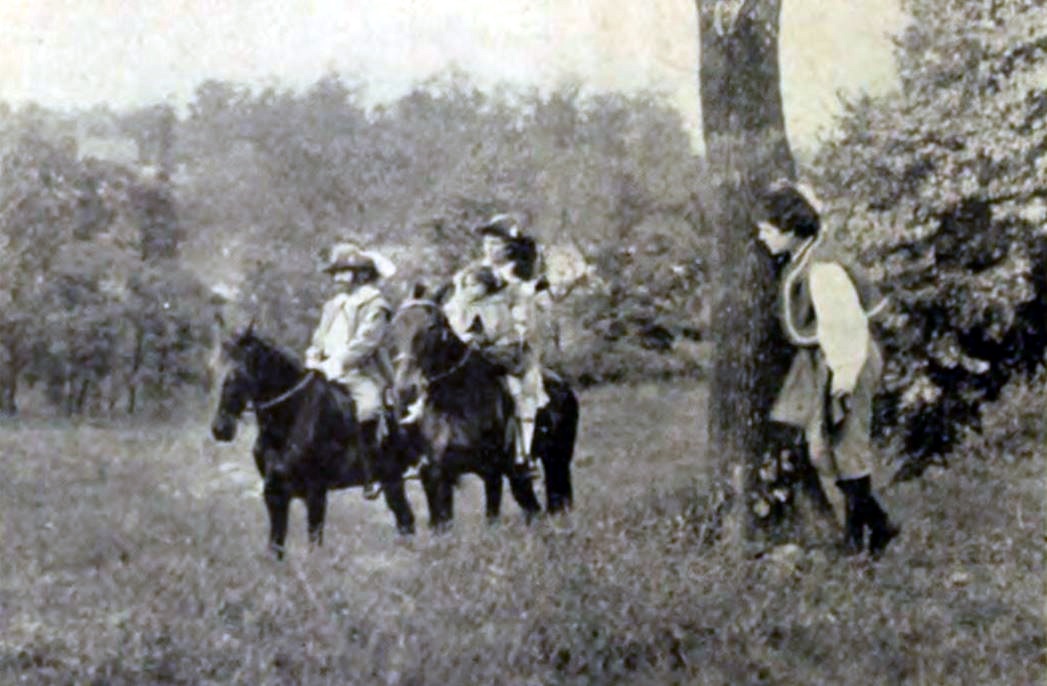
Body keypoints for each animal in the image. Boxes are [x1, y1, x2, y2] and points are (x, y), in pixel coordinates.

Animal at [208, 324, 416, 557]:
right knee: (405, 520)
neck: (292, 415)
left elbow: (314, 542)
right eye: (213, 368)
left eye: (238, 374)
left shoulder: (315, 492)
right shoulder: (274, 493)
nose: (220, 429)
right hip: (392, 481)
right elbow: (275, 546)